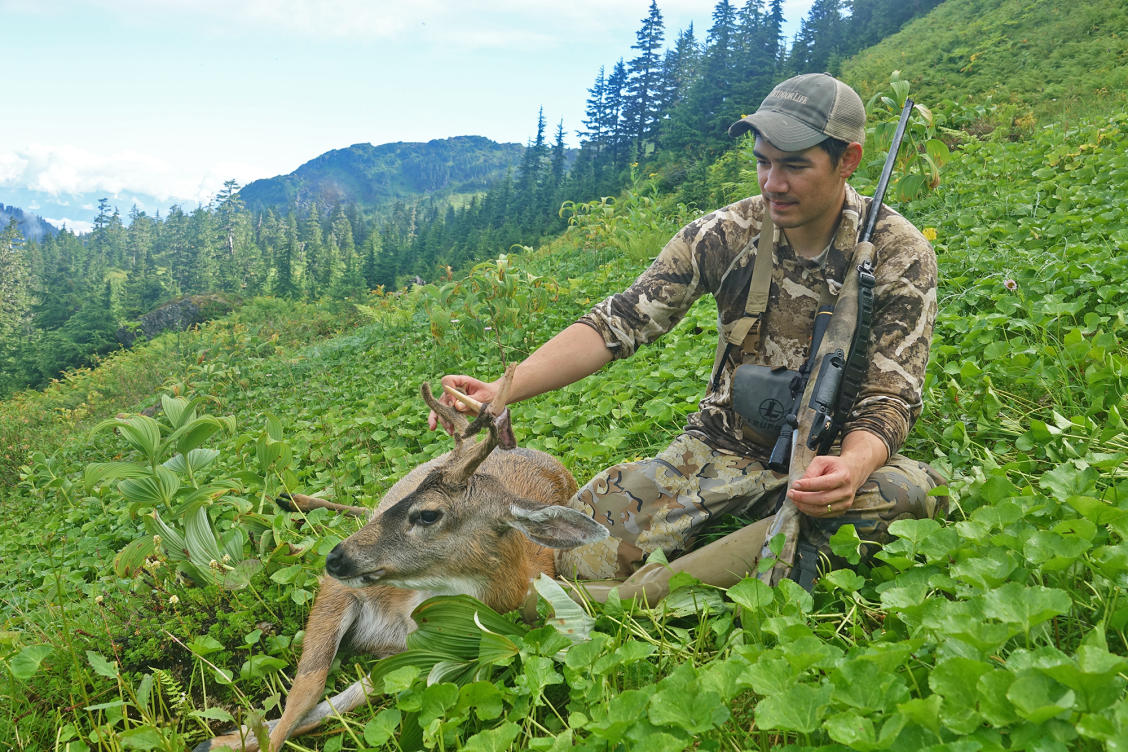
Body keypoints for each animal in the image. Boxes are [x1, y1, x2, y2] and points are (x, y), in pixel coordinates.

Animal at [193, 367, 608, 751]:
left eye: (428, 514)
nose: (336, 557)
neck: (407, 615)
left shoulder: (413, 661)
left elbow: (339, 700)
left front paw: (226, 738)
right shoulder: (338, 591)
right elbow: (309, 685)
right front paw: (225, 739)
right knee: (364, 507)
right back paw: (291, 503)